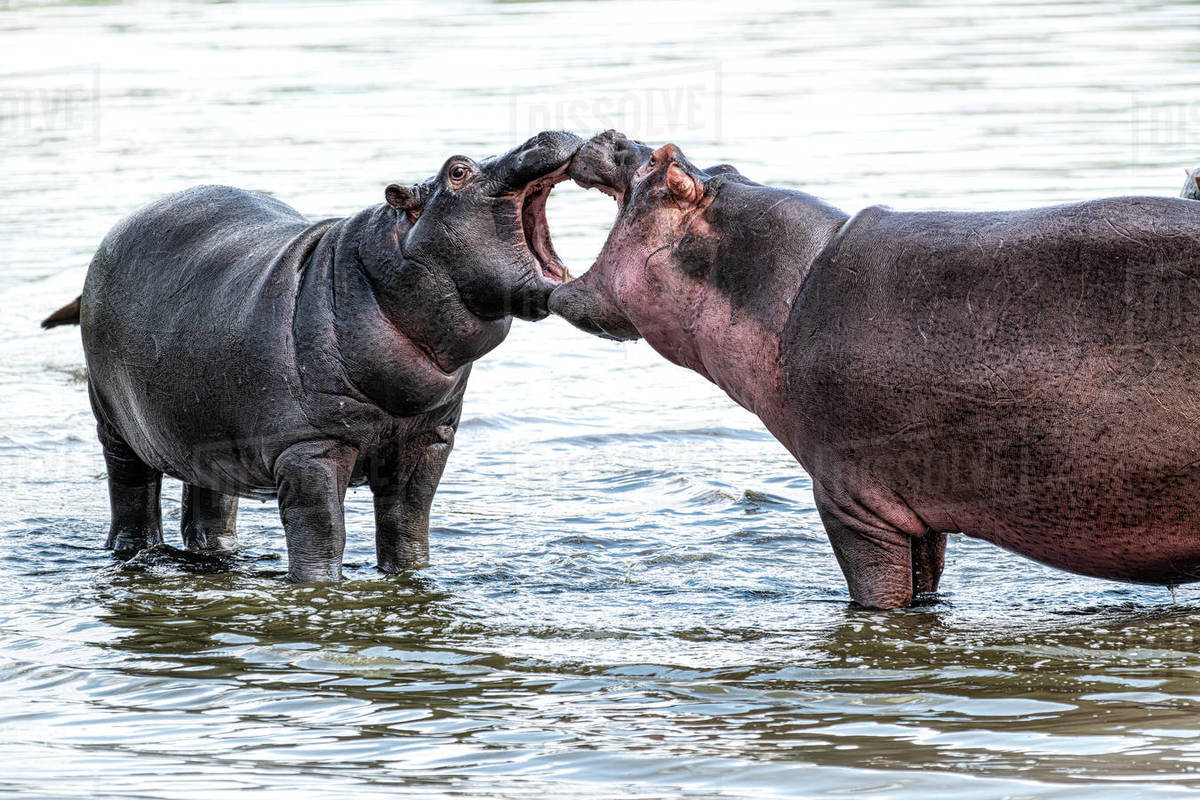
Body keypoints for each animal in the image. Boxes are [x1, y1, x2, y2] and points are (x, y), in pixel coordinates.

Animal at [43, 131, 581, 582]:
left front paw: (410, 578)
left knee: (208, 501)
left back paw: (218, 552)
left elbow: (408, 525)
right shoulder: (309, 448)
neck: (377, 275)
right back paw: (131, 551)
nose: (546, 132)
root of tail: (116, 232)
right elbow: (323, 531)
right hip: (114, 425)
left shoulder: (429, 439)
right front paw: (318, 585)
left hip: (203, 430)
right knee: (131, 491)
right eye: (458, 170)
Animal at [552, 130, 1200, 609]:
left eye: (656, 164)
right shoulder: (921, 512)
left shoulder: (853, 503)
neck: (790, 287)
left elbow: (877, 597)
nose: (609, 134)